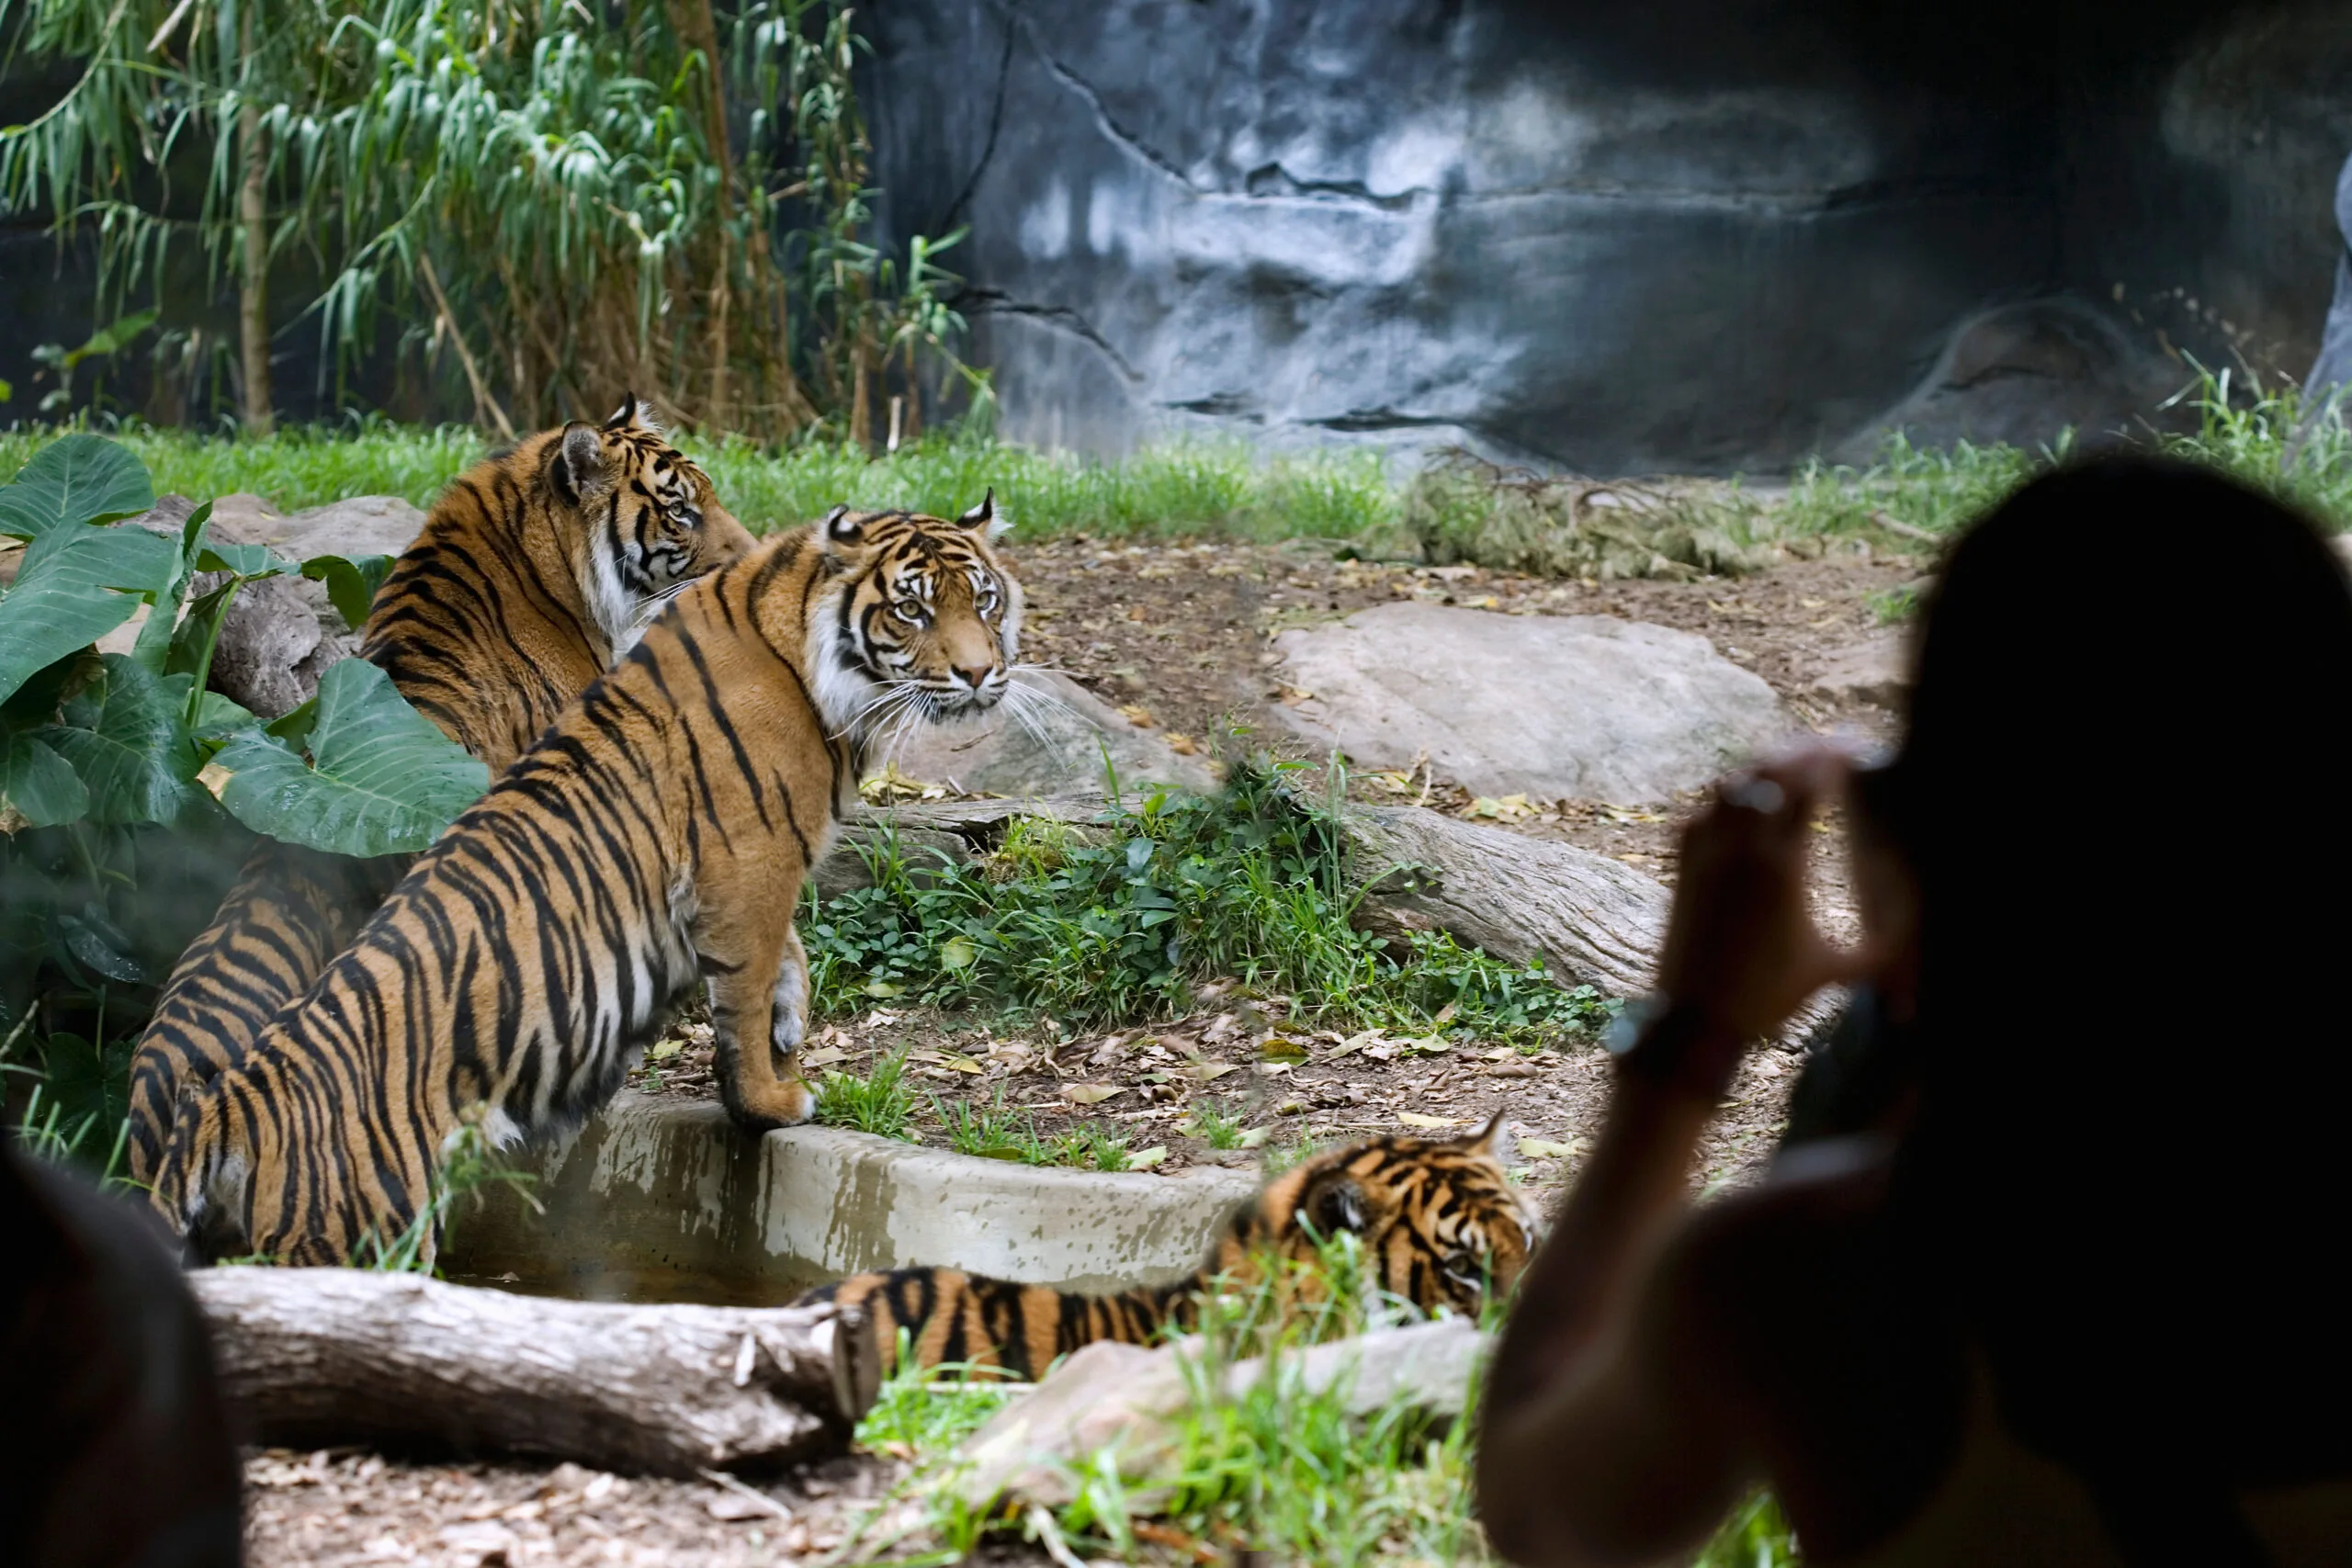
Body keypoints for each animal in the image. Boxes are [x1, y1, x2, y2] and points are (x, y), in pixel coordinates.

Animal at [149, 497, 1021, 1266]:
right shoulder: (751, 865)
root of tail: (227, 1106)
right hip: (366, 1232)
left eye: (982, 599)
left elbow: (786, 958)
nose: (982, 673)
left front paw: (790, 1021)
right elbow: (742, 995)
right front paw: (772, 1096)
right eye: (911, 610)